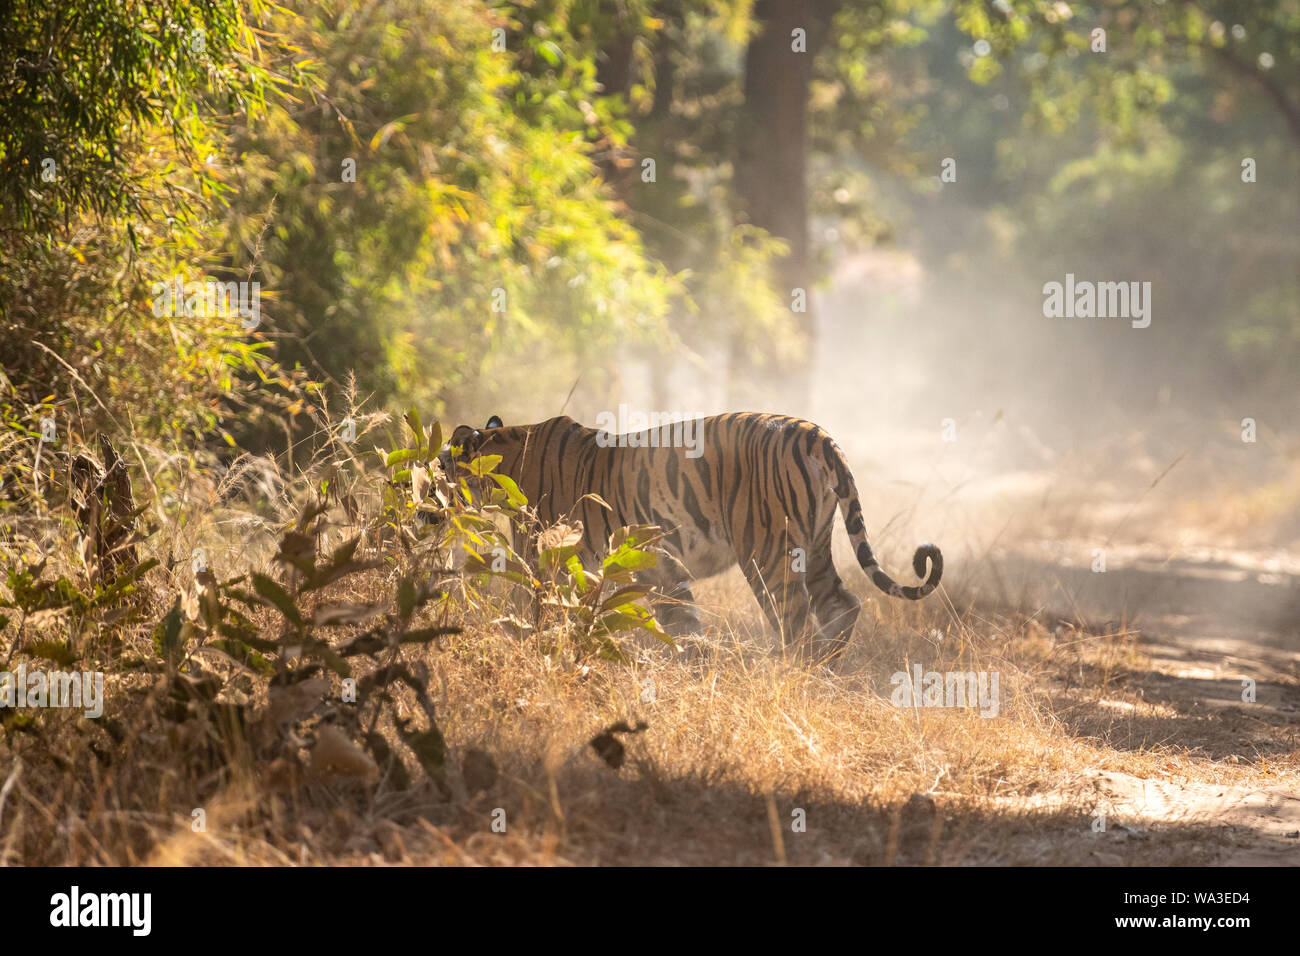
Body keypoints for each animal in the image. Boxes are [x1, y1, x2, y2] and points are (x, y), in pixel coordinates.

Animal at [439, 412, 942, 655]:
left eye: (440, 467)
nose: (429, 502)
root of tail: (815, 433)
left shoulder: (548, 563)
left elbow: (544, 616)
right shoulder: (664, 572)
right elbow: (684, 627)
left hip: (767, 555)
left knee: (798, 627)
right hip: (815, 547)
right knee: (843, 603)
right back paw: (829, 672)